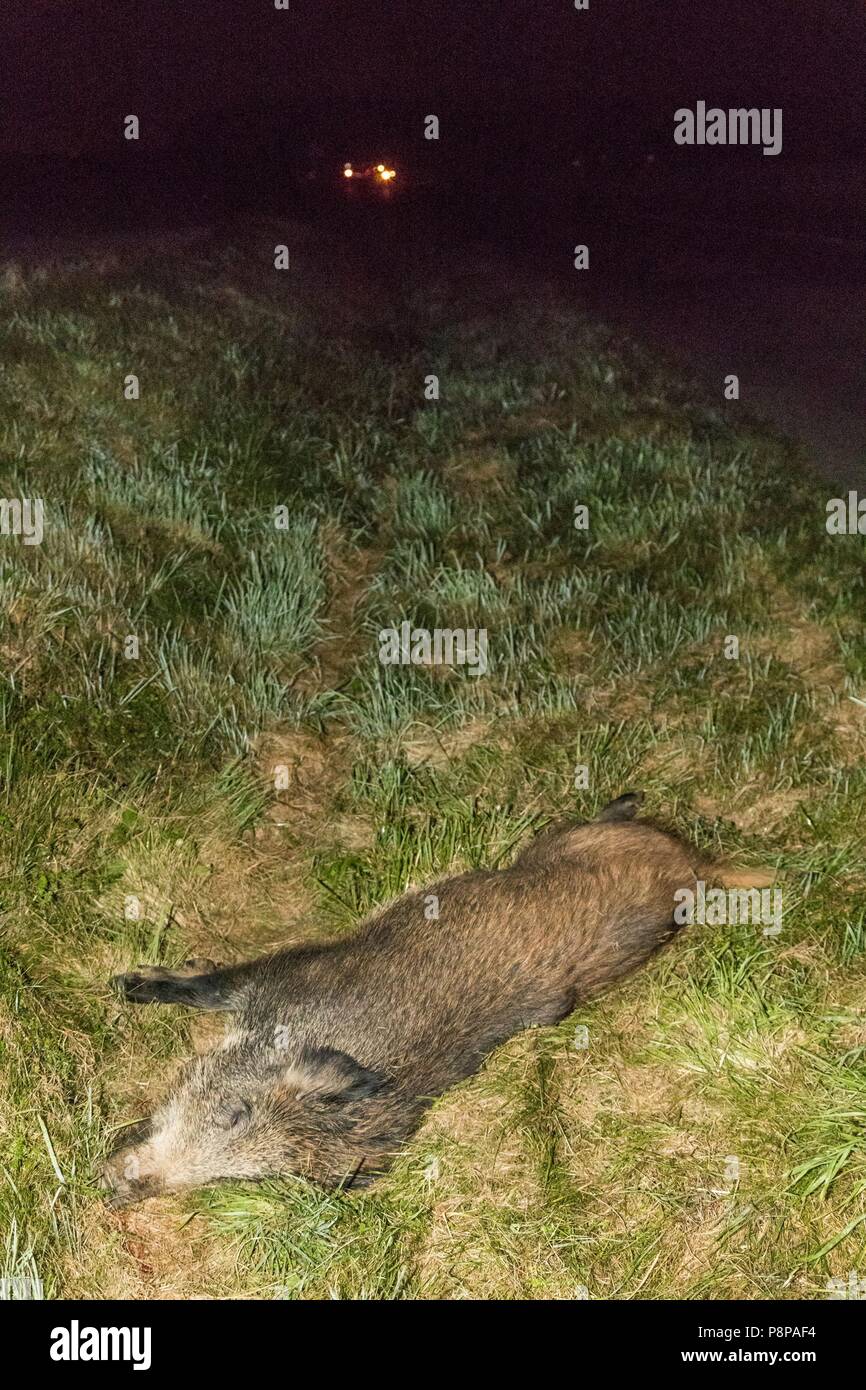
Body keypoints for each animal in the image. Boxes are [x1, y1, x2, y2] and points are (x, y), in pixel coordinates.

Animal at [102, 793, 770, 1206]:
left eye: (254, 1174)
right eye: (235, 1113)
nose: (119, 1188)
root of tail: (693, 861)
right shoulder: (288, 972)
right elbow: (207, 985)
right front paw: (125, 985)